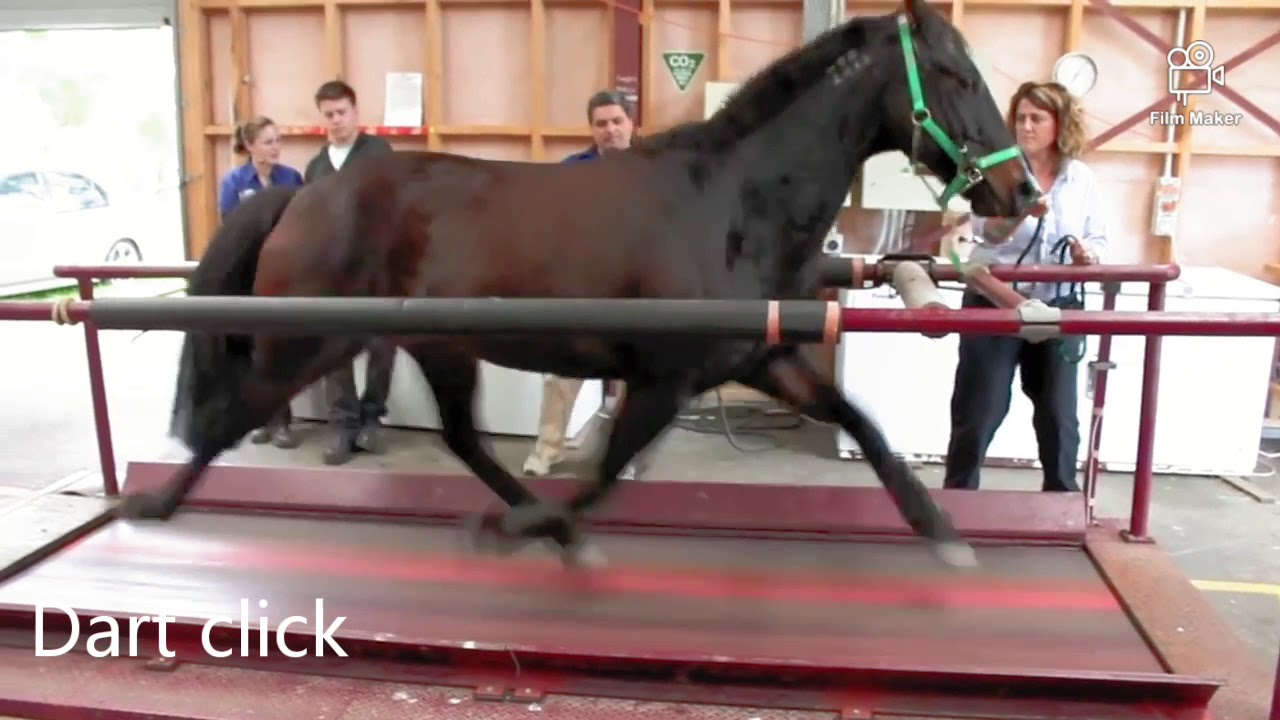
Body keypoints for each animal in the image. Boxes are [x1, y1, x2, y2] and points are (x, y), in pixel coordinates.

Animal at [129, 0, 1039, 570]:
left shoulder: (757, 359)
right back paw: (145, 512)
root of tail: (302, 194)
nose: (1021, 188)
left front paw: (944, 533)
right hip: (306, 343)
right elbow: (605, 470)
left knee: (460, 438)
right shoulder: (665, 380)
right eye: (955, 76)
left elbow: (863, 424)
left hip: (437, 347)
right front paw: (552, 529)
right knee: (227, 420)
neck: (729, 204)